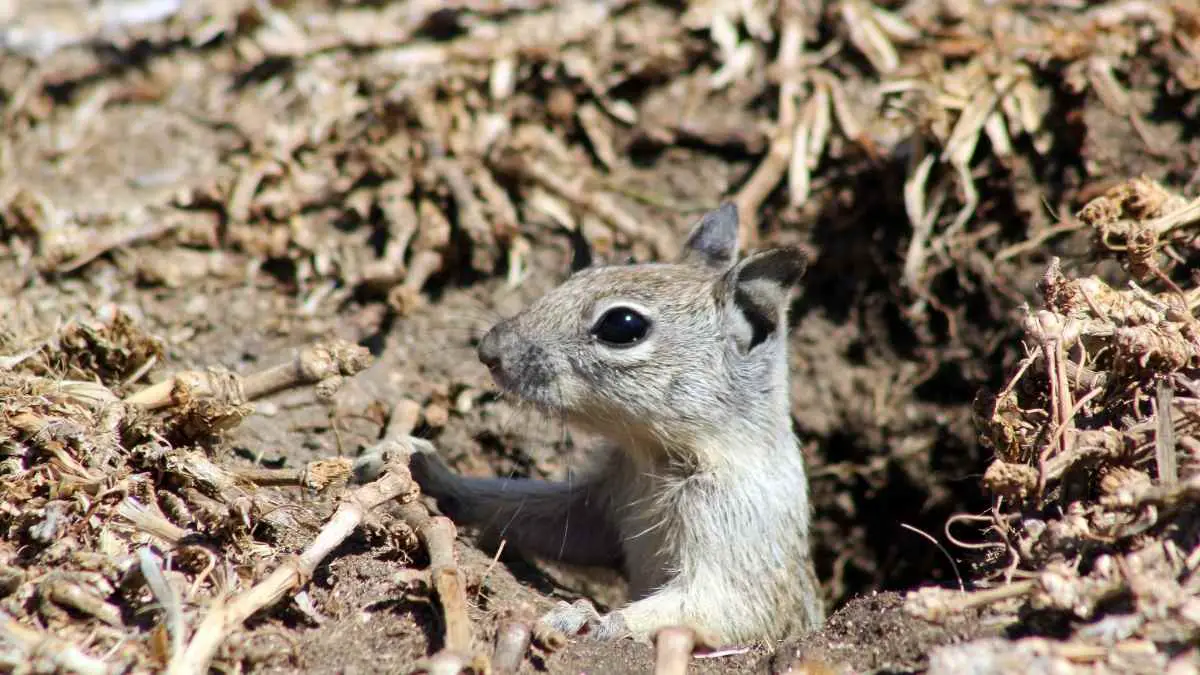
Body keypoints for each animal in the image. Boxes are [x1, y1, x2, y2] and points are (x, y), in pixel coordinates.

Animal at [407, 203, 825, 646]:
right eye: (575, 276)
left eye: (622, 324)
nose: (489, 351)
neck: (653, 454)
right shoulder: (601, 503)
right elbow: (524, 507)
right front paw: (433, 472)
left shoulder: (733, 528)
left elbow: (717, 610)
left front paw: (589, 617)